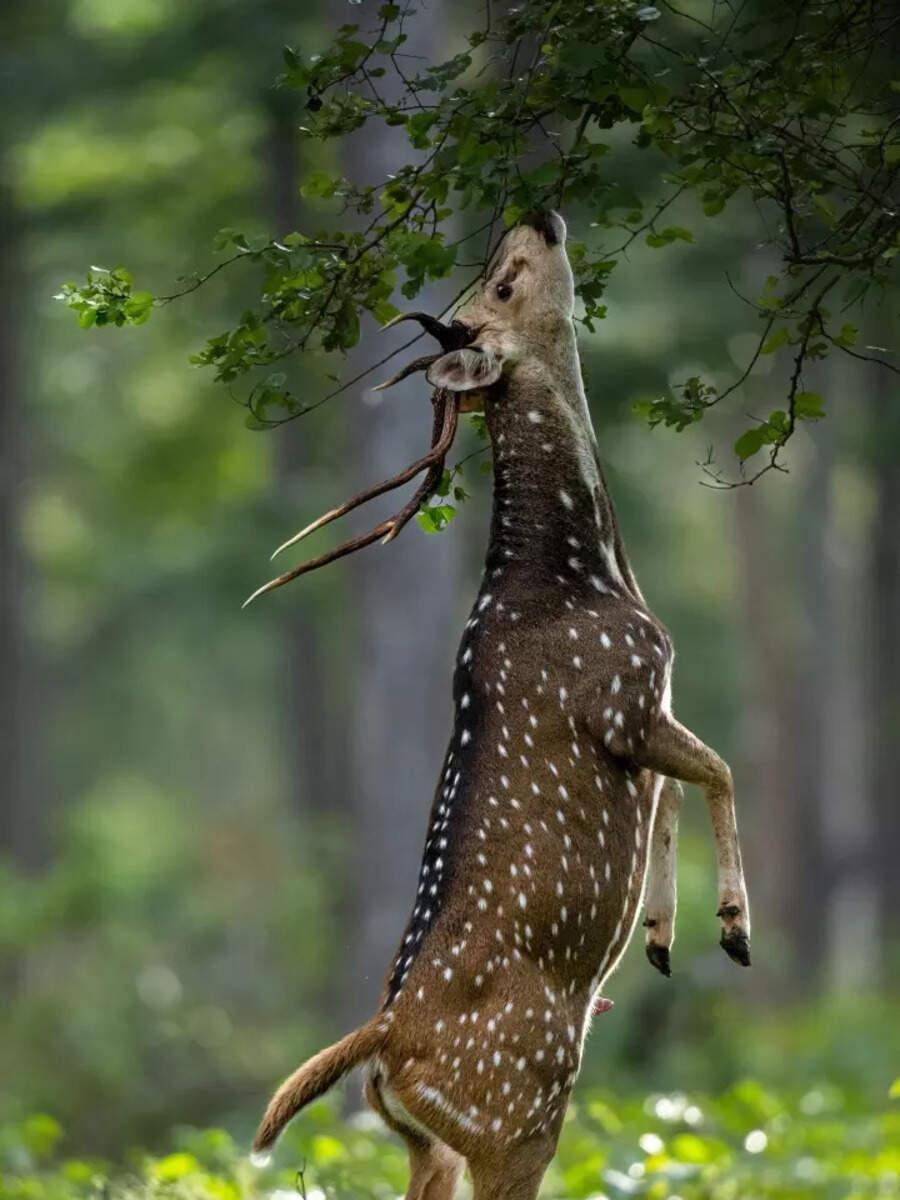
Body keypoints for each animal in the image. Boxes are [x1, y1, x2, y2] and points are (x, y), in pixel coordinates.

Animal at [250, 210, 750, 1200]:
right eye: (507, 285)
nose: (536, 214)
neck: (589, 573)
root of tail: (382, 1047)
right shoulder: (623, 698)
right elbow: (718, 769)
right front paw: (732, 930)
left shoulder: (650, 709)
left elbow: (680, 791)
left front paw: (661, 936)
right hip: (522, 1116)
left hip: (430, 1141)